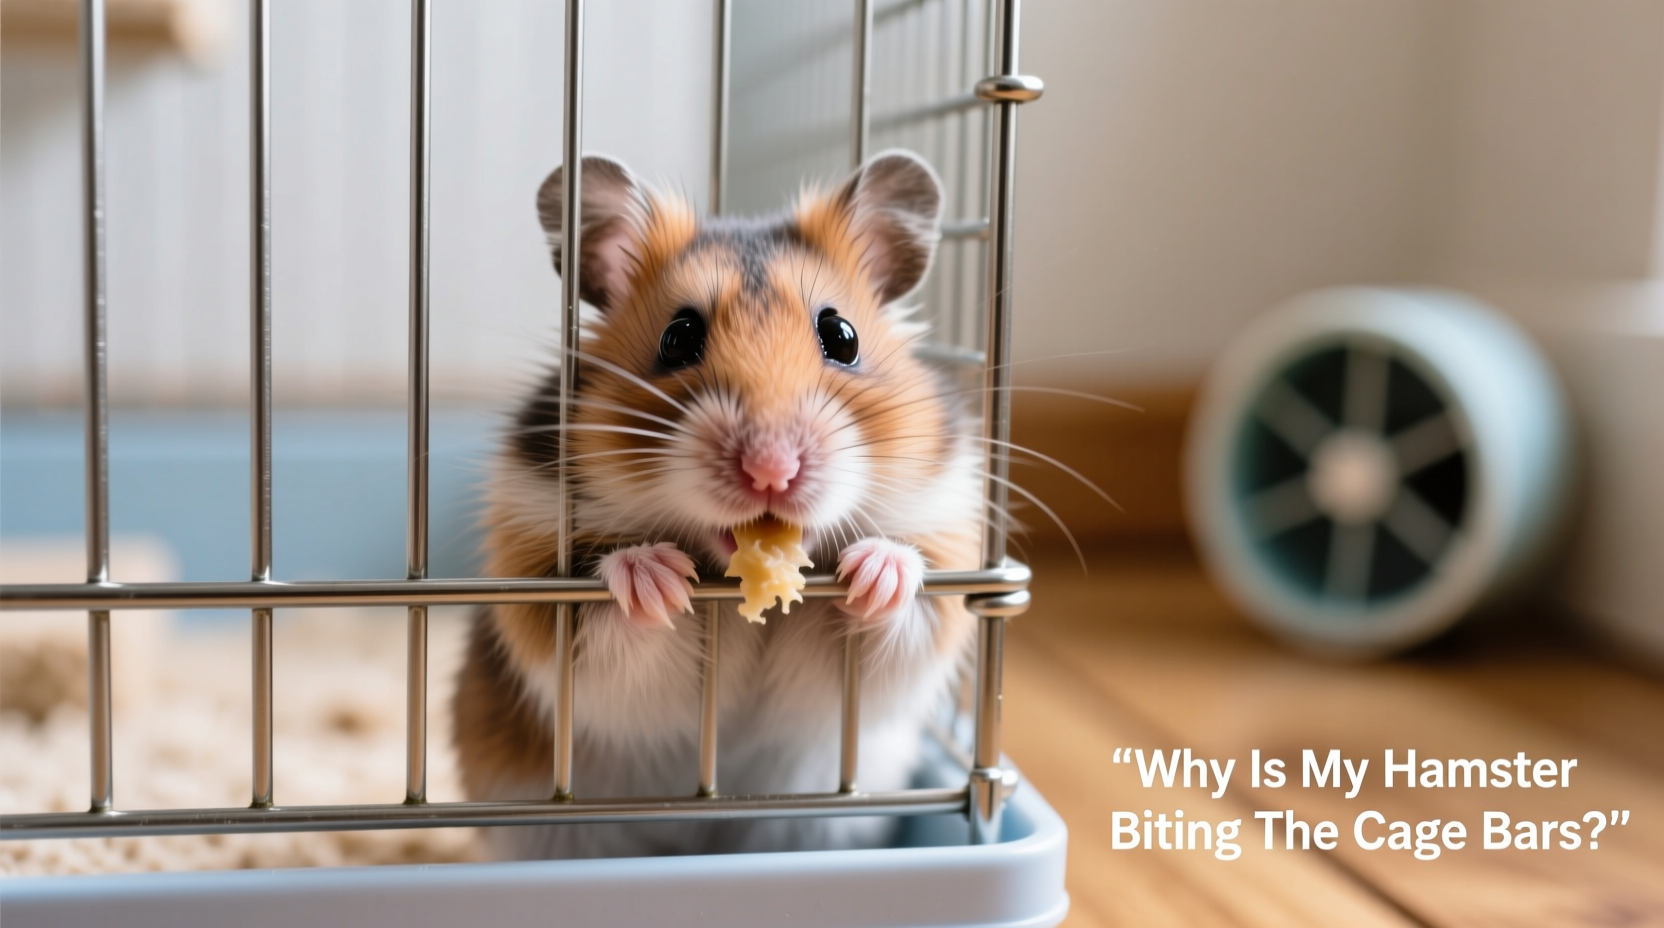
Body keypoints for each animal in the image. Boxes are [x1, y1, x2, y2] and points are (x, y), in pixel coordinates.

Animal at [452, 149, 983, 859]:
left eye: (842, 336)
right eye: (678, 338)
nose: (771, 471)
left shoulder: (941, 555)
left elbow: (912, 622)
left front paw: (875, 570)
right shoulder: (546, 592)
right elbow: (602, 636)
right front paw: (654, 575)